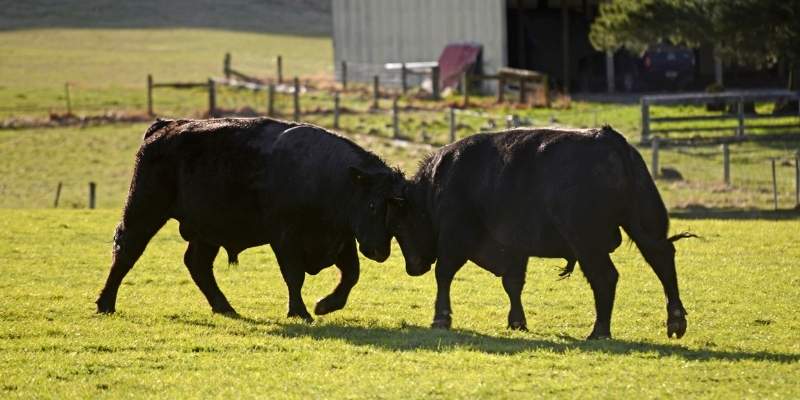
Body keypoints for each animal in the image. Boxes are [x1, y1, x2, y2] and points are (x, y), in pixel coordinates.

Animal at [96, 118, 405, 321]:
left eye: (397, 209)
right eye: (373, 204)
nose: (380, 251)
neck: (328, 178)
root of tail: (165, 126)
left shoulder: (342, 239)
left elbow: (351, 274)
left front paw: (325, 305)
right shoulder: (285, 239)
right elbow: (295, 276)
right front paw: (301, 312)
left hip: (206, 232)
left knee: (197, 264)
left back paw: (224, 306)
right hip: (144, 211)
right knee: (127, 250)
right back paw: (105, 303)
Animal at [386, 126, 693, 339]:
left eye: (400, 224)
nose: (413, 267)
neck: (436, 186)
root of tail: (607, 138)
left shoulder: (455, 238)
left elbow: (444, 274)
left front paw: (441, 318)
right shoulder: (513, 247)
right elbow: (513, 283)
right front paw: (517, 321)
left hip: (587, 242)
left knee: (606, 277)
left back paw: (599, 331)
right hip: (644, 227)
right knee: (662, 259)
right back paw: (675, 321)